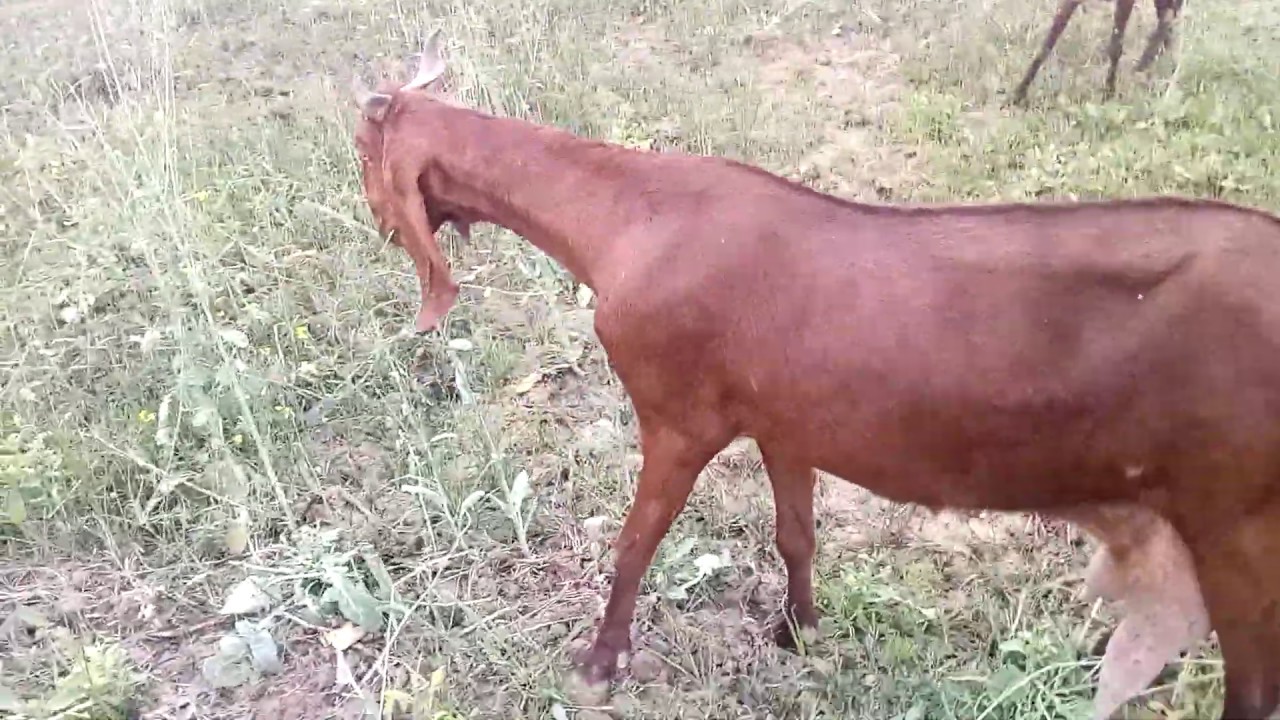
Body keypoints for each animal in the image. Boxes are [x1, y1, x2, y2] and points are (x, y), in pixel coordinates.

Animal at [350, 32, 1280, 719]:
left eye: (361, 149)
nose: (379, 226)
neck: (628, 215)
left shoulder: (677, 416)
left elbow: (635, 542)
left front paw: (599, 664)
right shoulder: (784, 420)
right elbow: (795, 532)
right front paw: (798, 629)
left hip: (1236, 521)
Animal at [1013, 0, 1186, 104]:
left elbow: (1115, 46)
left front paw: (1108, 93)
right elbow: (1048, 41)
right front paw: (1019, 93)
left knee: (1169, 17)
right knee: (1168, 17)